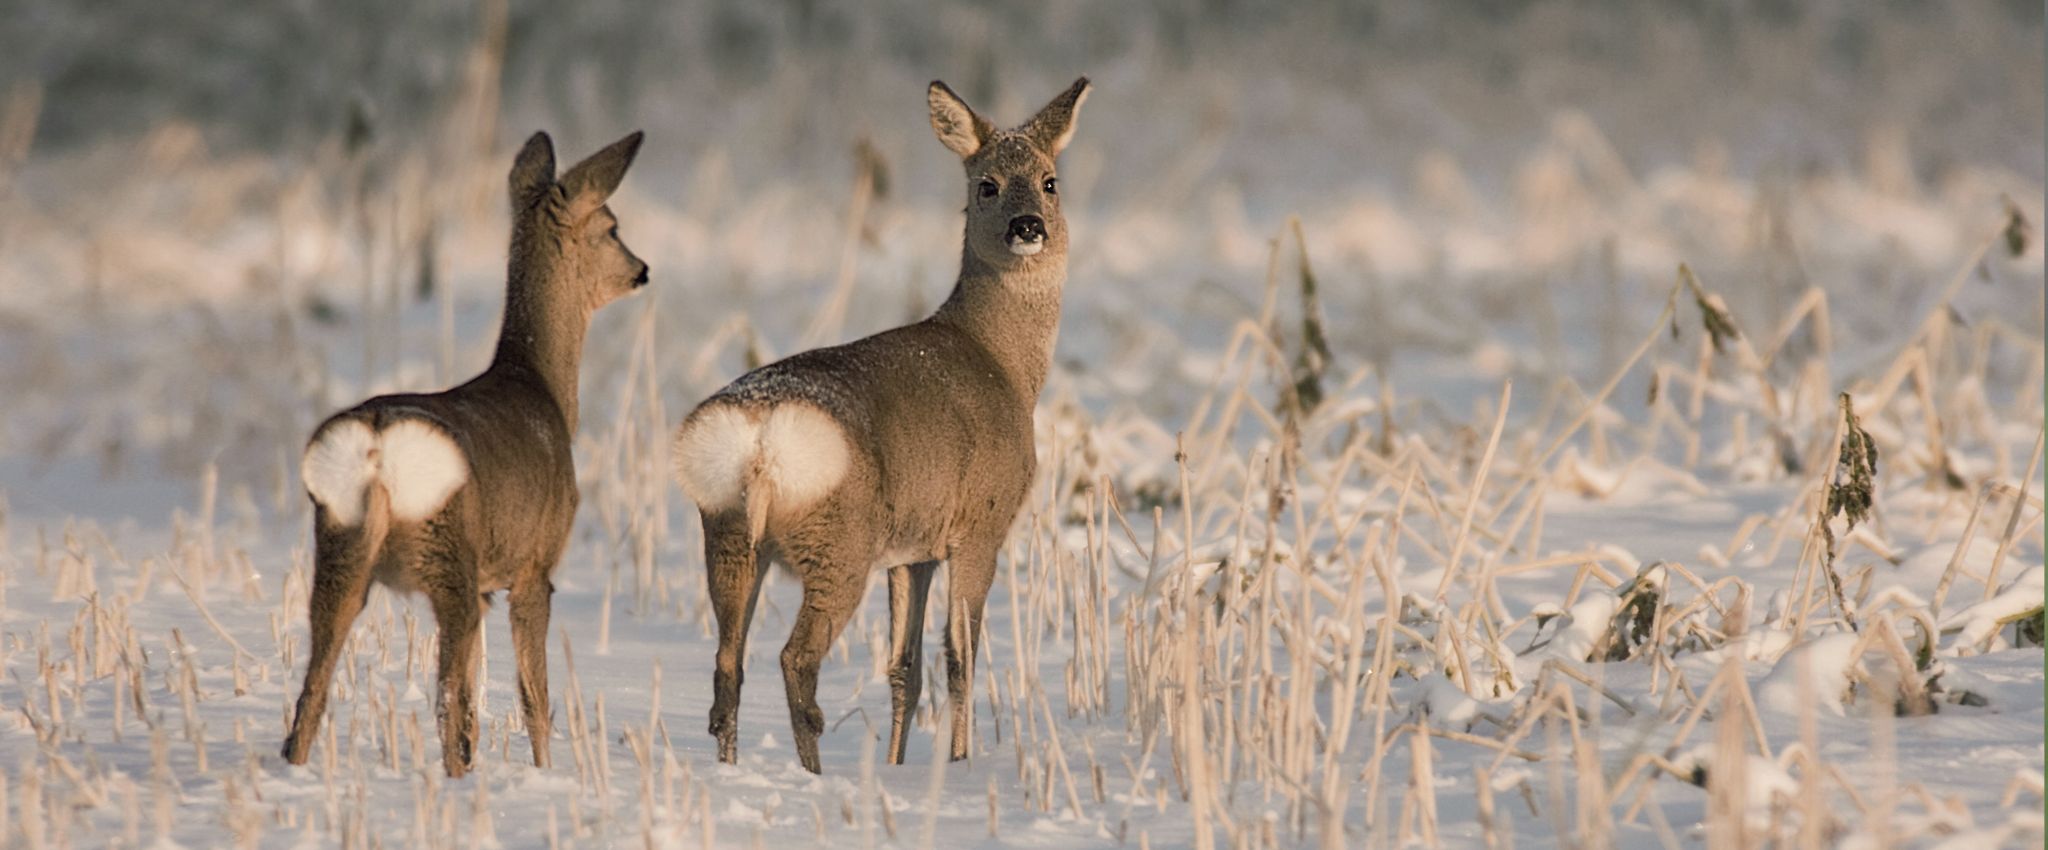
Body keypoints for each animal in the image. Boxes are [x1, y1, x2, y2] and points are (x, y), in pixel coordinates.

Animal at [282, 130, 649, 778]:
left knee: (312, 694)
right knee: (450, 709)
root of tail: (378, 443)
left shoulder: (485, 580)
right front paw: (547, 776)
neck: (541, 387)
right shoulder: (533, 563)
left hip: (341, 545)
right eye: (611, 227)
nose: (642, 270)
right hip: (447, 549)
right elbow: (534, 698)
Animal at [671, 77, 1089, 773]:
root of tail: (759, 438)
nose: (1027, 226)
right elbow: (960, 658)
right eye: (987, 184)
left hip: (729, 536)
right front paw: (958, 765)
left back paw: (731, 768)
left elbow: (904, 667)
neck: (1004, 363)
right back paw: (813, 773)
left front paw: (897, 767)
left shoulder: (913, 549)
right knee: (795, 660)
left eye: (1050, 181)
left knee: (728, 663)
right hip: (840, 542)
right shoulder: (980, 525)